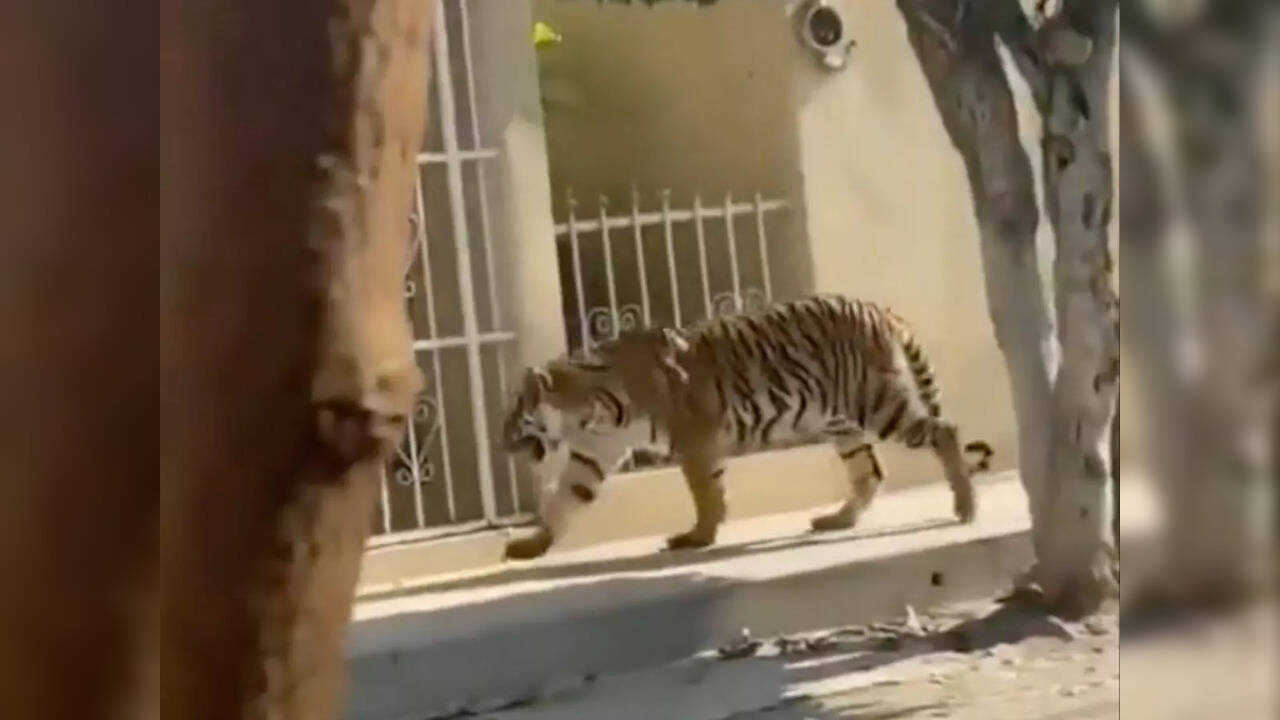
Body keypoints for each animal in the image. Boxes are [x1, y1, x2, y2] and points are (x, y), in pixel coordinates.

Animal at [501, 293, 994, 561]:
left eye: (513, 416)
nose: (502, 446)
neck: (585, 410)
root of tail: (880, 308)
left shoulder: (694, 437)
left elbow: (705, 492)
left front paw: (697, 538)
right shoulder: (592, 454)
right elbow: (562, 501)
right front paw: (530, 546)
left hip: (879, 404)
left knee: (944, 430)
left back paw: (966, 507)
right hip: (841, 422)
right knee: (870, 470)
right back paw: (837, 520)